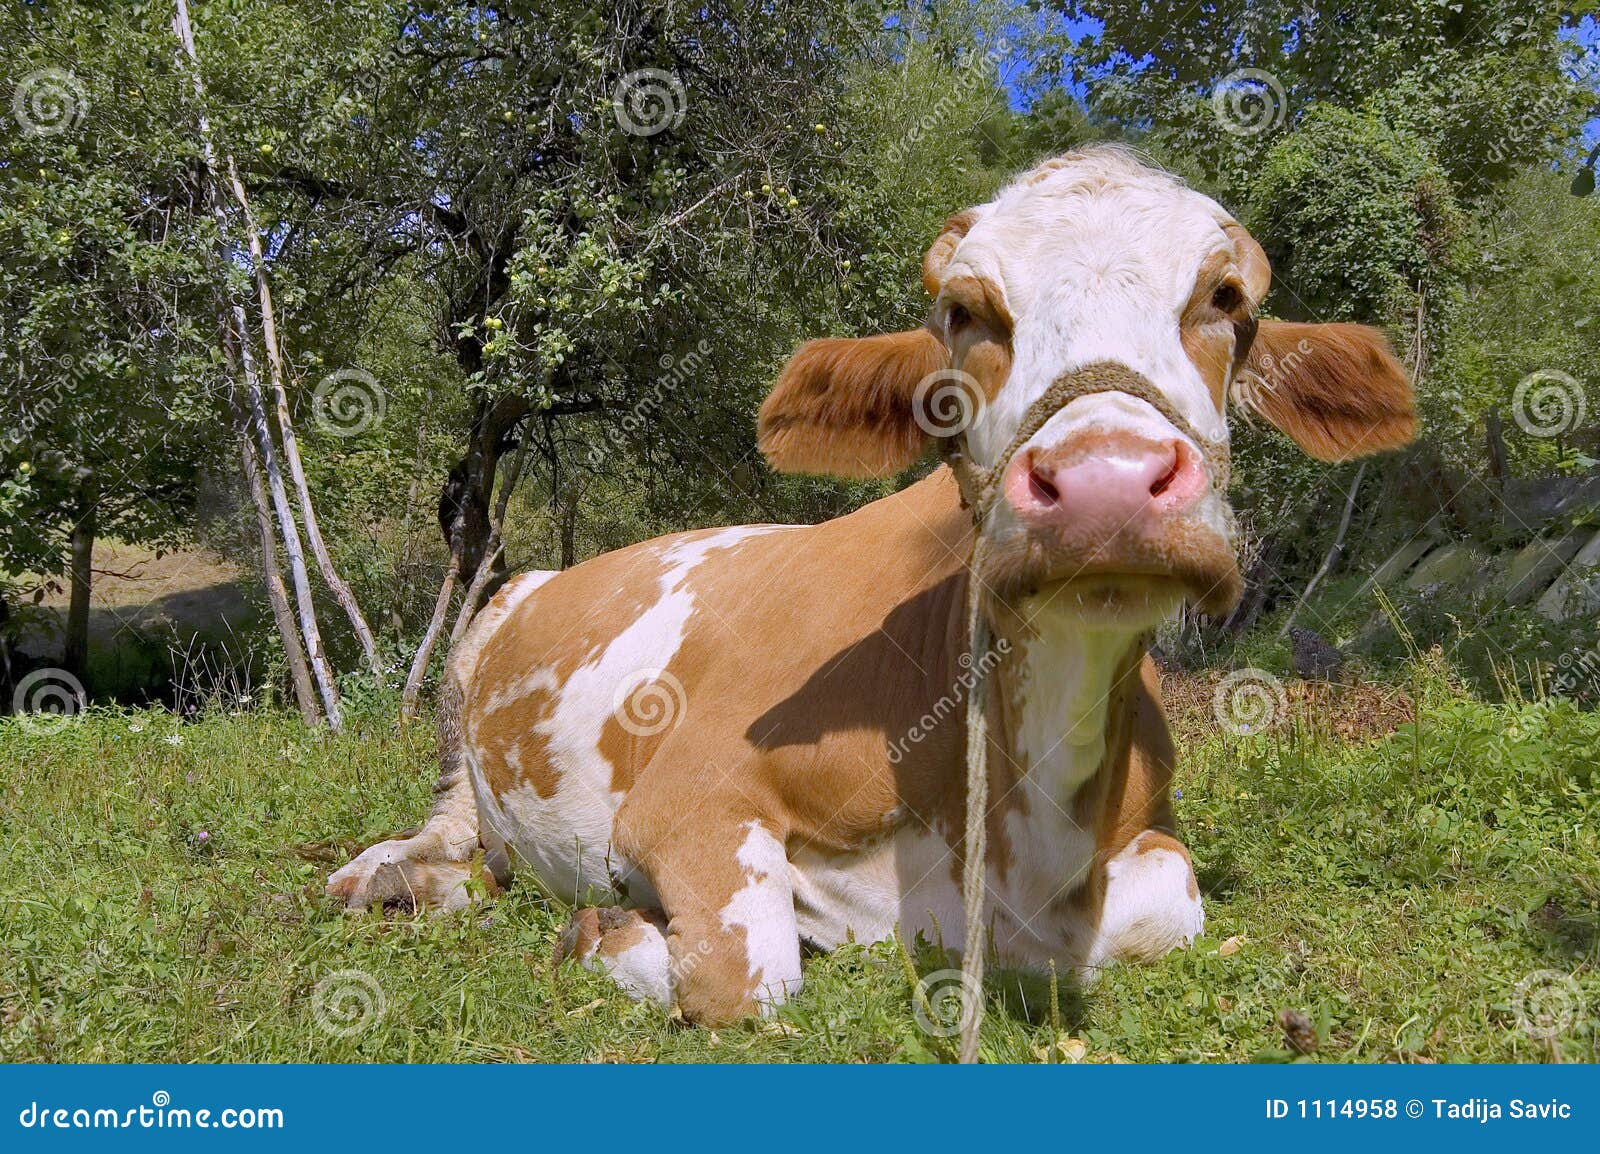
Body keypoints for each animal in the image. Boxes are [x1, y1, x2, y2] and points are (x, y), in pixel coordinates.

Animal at [328, 147, 1415, 1025]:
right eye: (965, 313)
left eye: (1225, 299)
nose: (1105, 483)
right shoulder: (688, 795)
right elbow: (750, 974)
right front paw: (606, 928)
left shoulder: (1139, 848)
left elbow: (1169, 901)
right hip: (472, 657)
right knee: (451, 824)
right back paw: (383, 877)